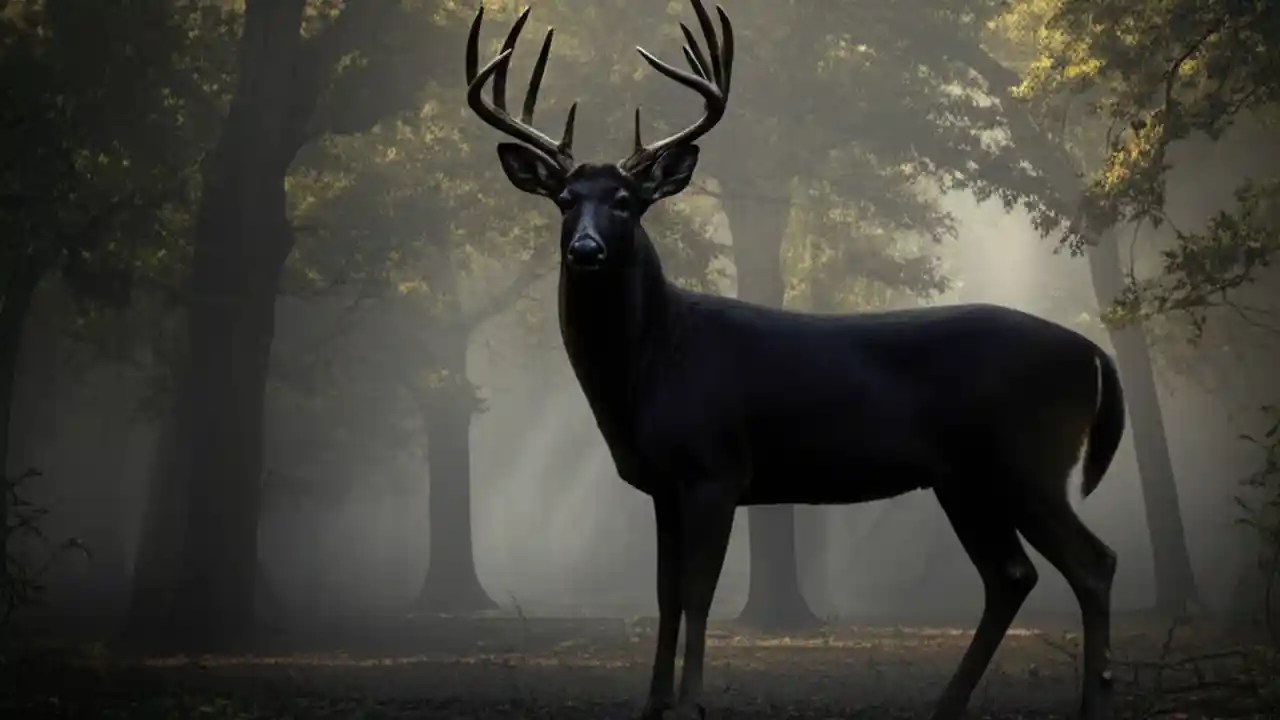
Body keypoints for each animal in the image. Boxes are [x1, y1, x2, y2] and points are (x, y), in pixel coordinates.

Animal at [462, 3, 1125, 719]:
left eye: (626, 202)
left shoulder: (716, 467)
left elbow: (698, 594)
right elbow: (664, 596)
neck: (654, 365)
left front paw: (692, 704)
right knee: (1012, 575)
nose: (585, 249)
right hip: (965, 479)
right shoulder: (665, 484)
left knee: (1092, 563)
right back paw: (947, 703)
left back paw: (1091, 702)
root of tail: (1093, 354)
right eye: (564, 199)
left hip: (1029, 459)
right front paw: (652, 705)